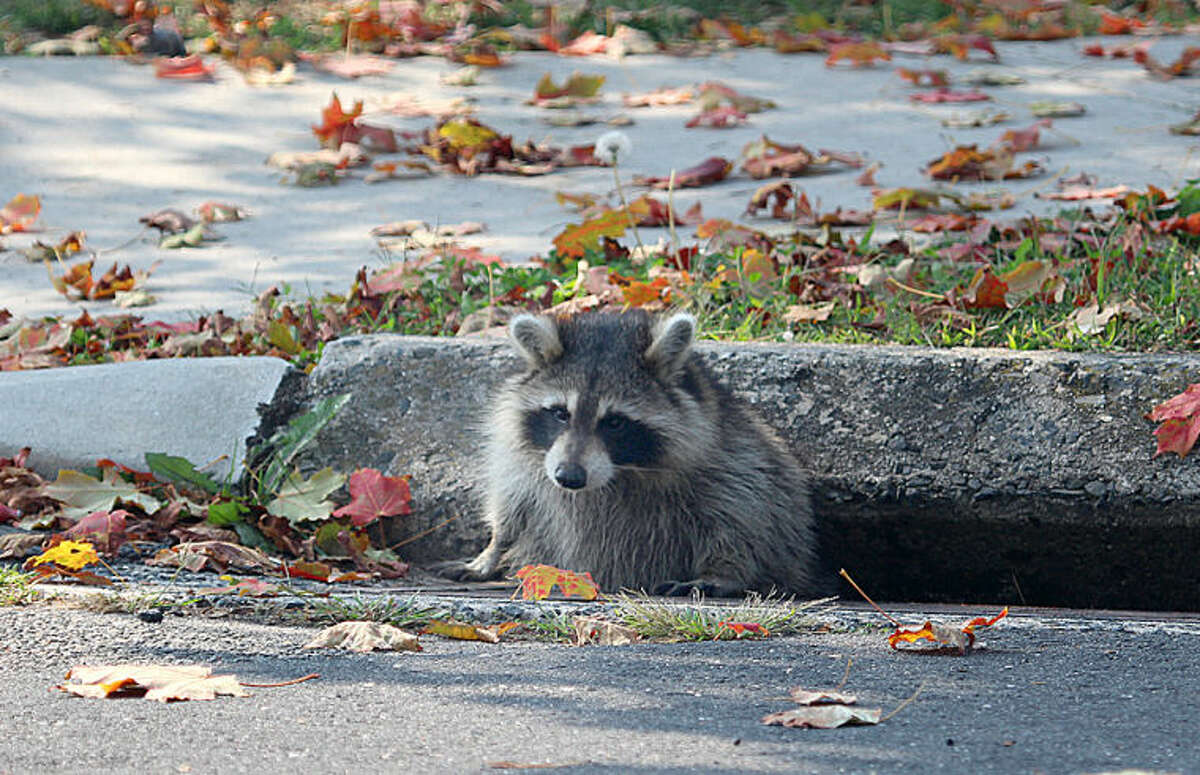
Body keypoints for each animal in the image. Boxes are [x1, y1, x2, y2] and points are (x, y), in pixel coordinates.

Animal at [434, 309, 817, 597]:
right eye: (560, 413)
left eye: (615, 422)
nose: (569, 477)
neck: (620, 471)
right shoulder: (526, 457)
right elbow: (512, 503)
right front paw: (491, 550)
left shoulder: (728, 452)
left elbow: (744, 509)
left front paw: (723, 572)